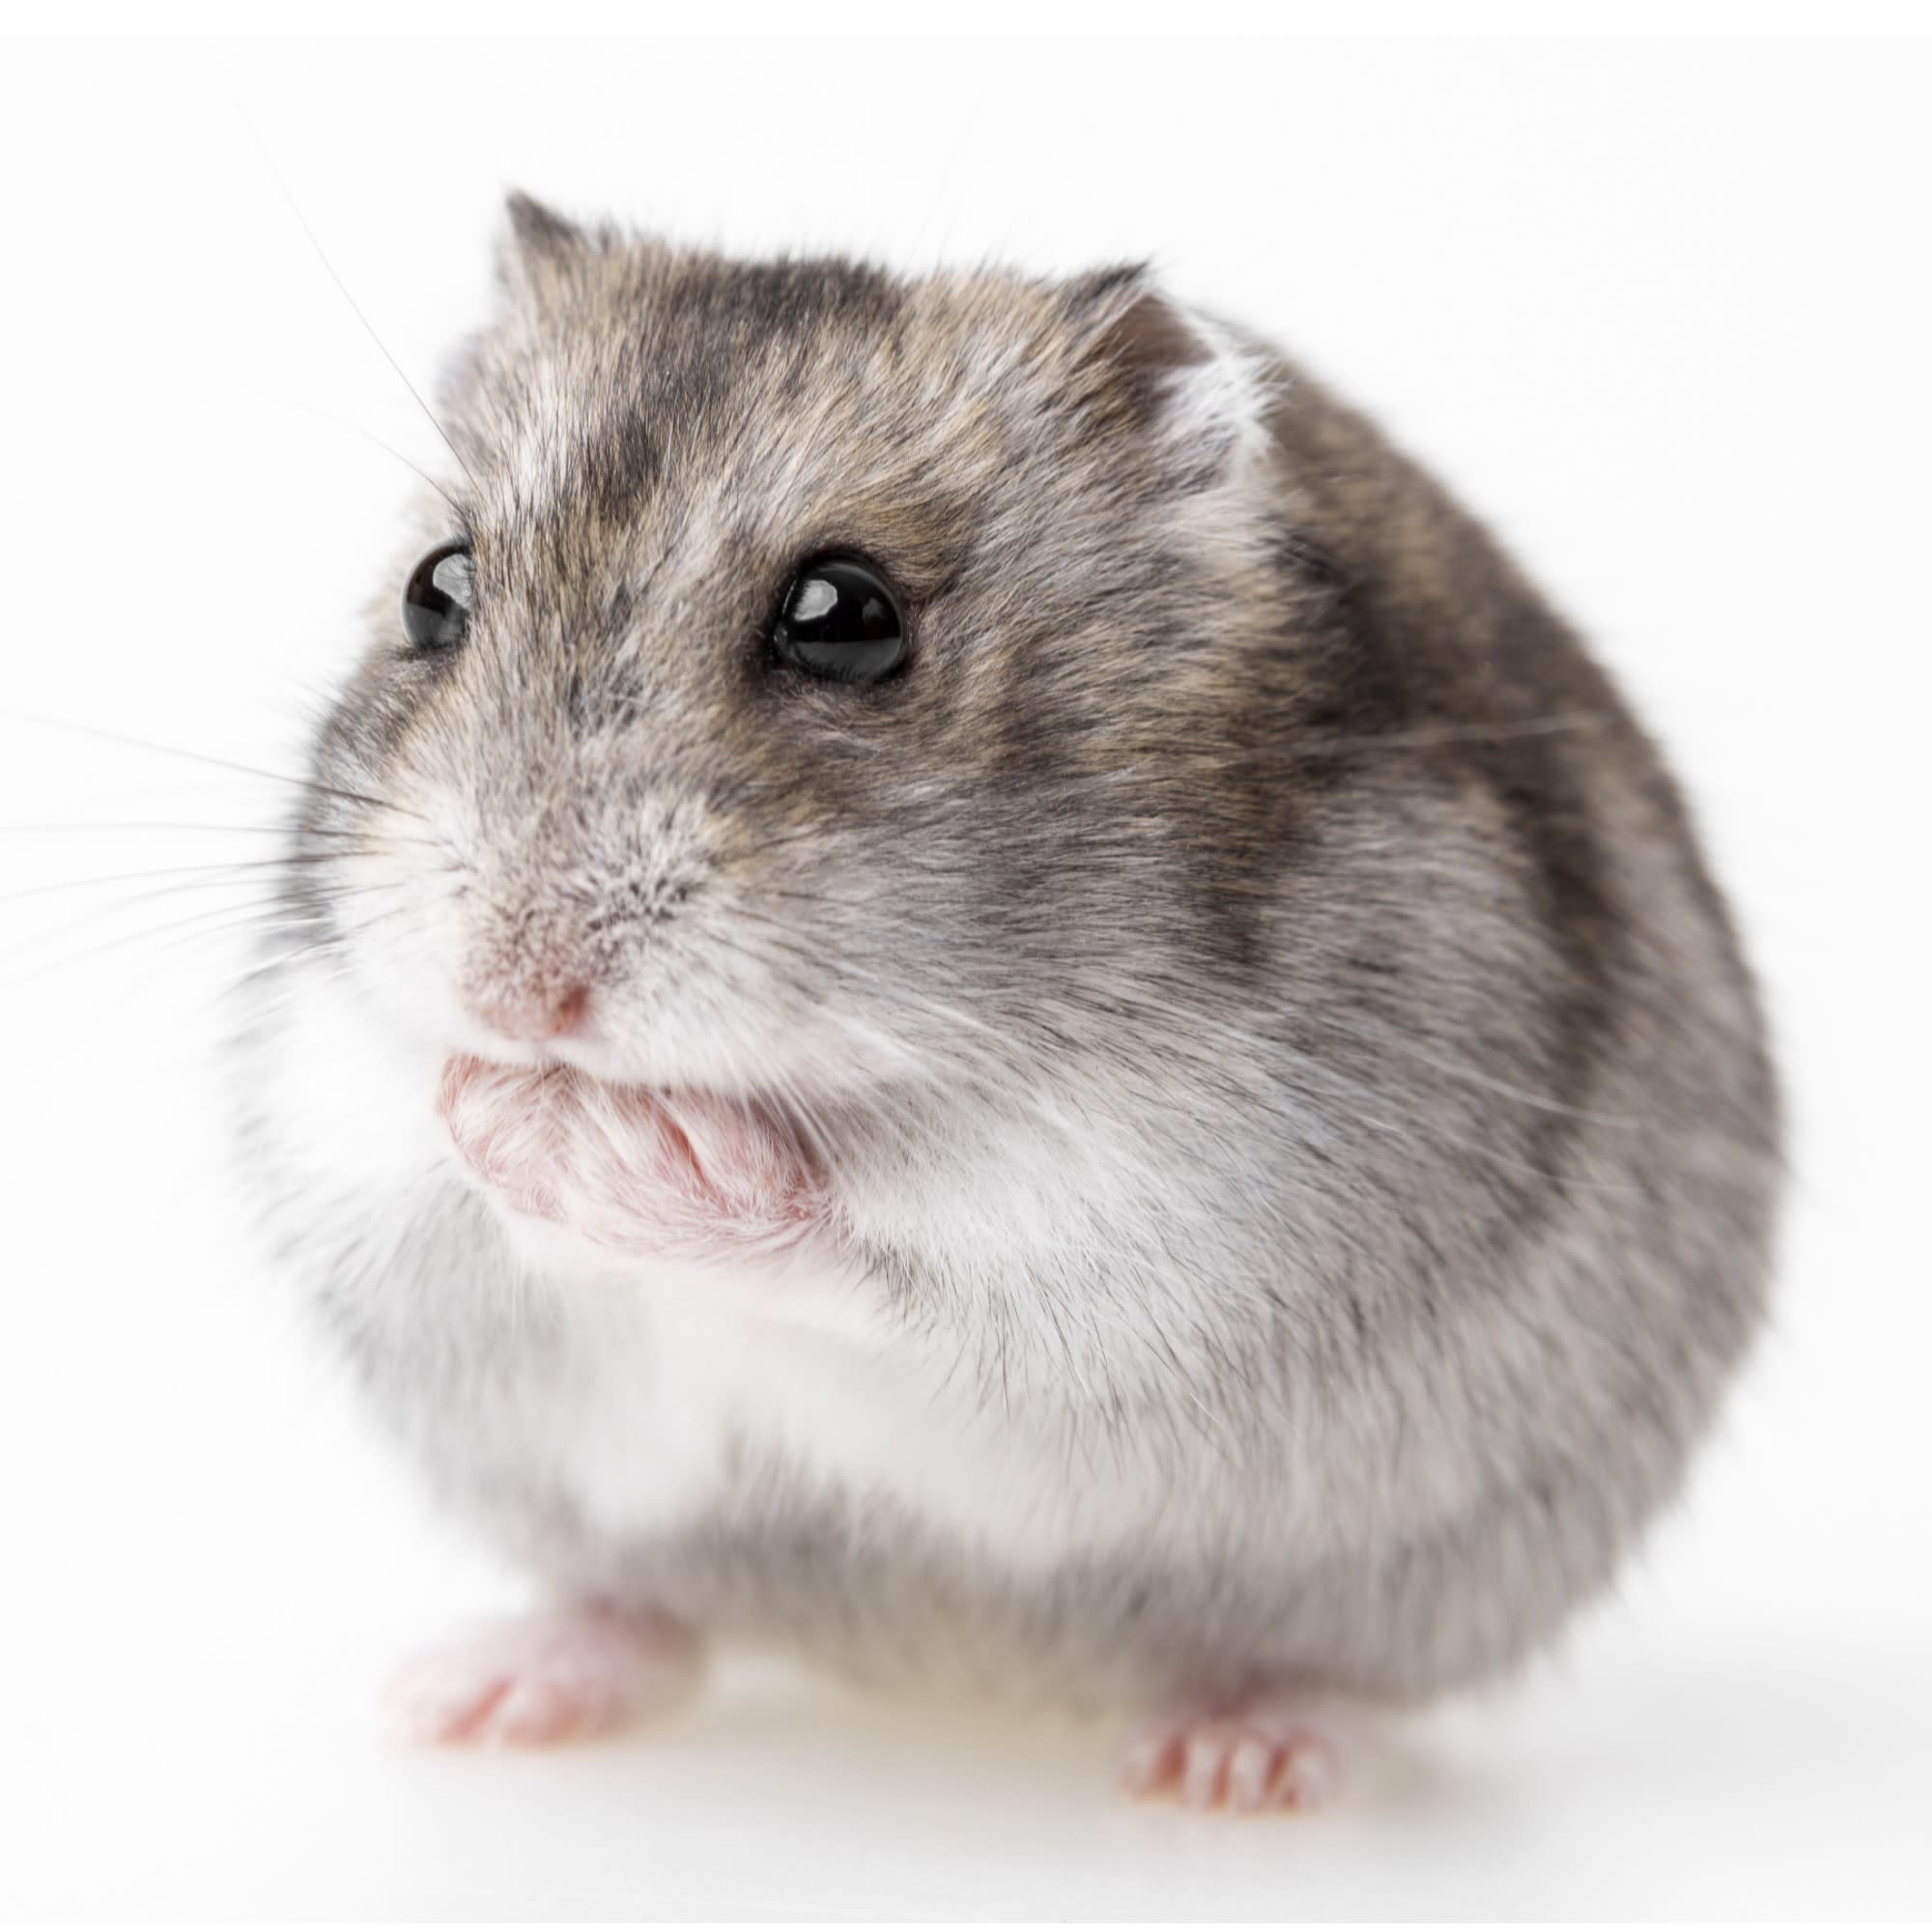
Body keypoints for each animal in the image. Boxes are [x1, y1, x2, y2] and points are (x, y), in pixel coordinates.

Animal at [233, 194, 1780, 1810]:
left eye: (846, 618)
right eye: (438, 589)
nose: (515, 992)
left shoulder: (1157, 1225)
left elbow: (861, 1247)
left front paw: (633, 1145)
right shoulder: (337, 1120)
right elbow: (439, 1169)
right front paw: (498, 1110)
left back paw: (1236, 1764)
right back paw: (477, 1692)